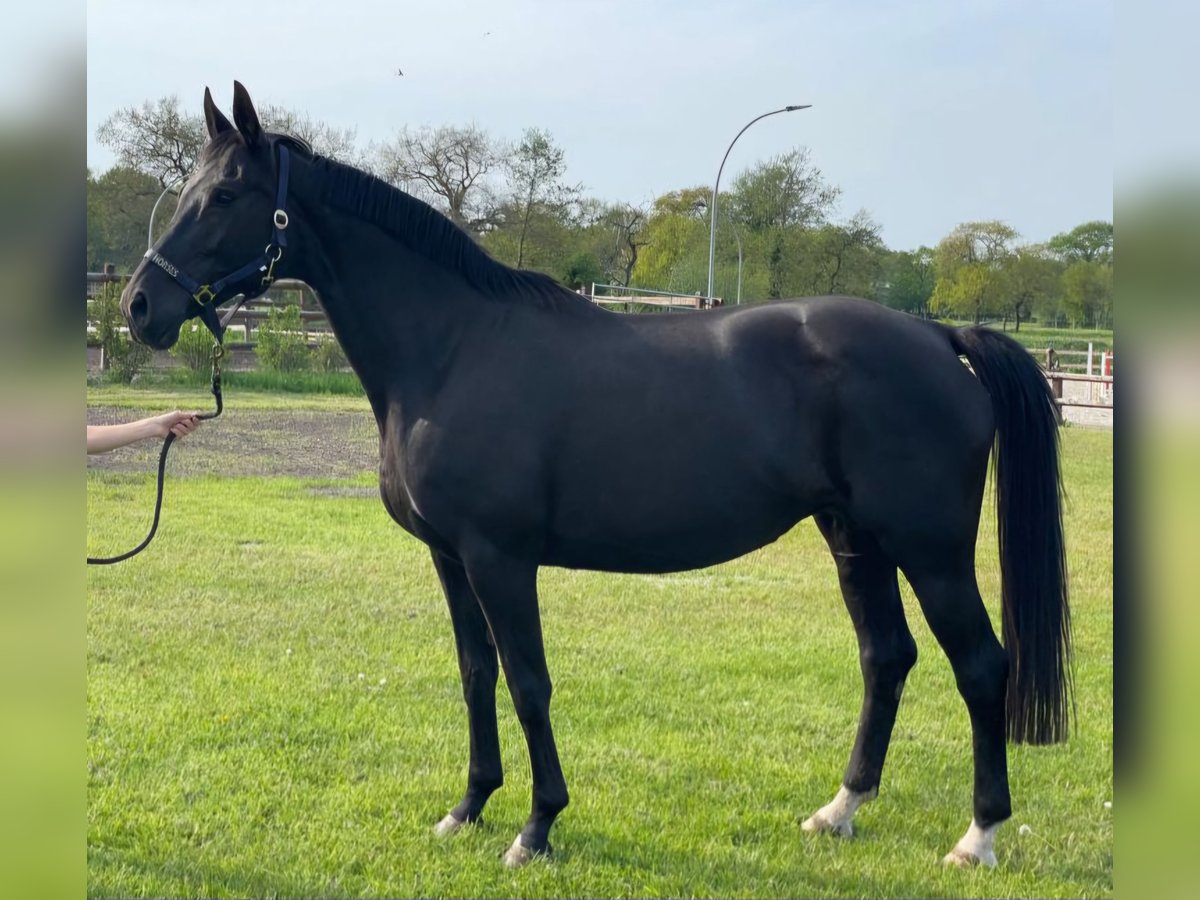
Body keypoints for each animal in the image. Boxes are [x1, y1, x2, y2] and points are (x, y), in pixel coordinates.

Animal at [121, 82, 1071, 869]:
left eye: (227, 196)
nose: (139, 307)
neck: (453, 349)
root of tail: (939, 337)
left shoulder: (501, 558)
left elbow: (529, 682)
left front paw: (536, 827)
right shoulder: (449, 557)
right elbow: (477, 674)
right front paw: (467, 808)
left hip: (931, 550)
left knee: (981, 665)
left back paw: (978, 836)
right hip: (853, 539)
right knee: (886, 657)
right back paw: (839, 811)